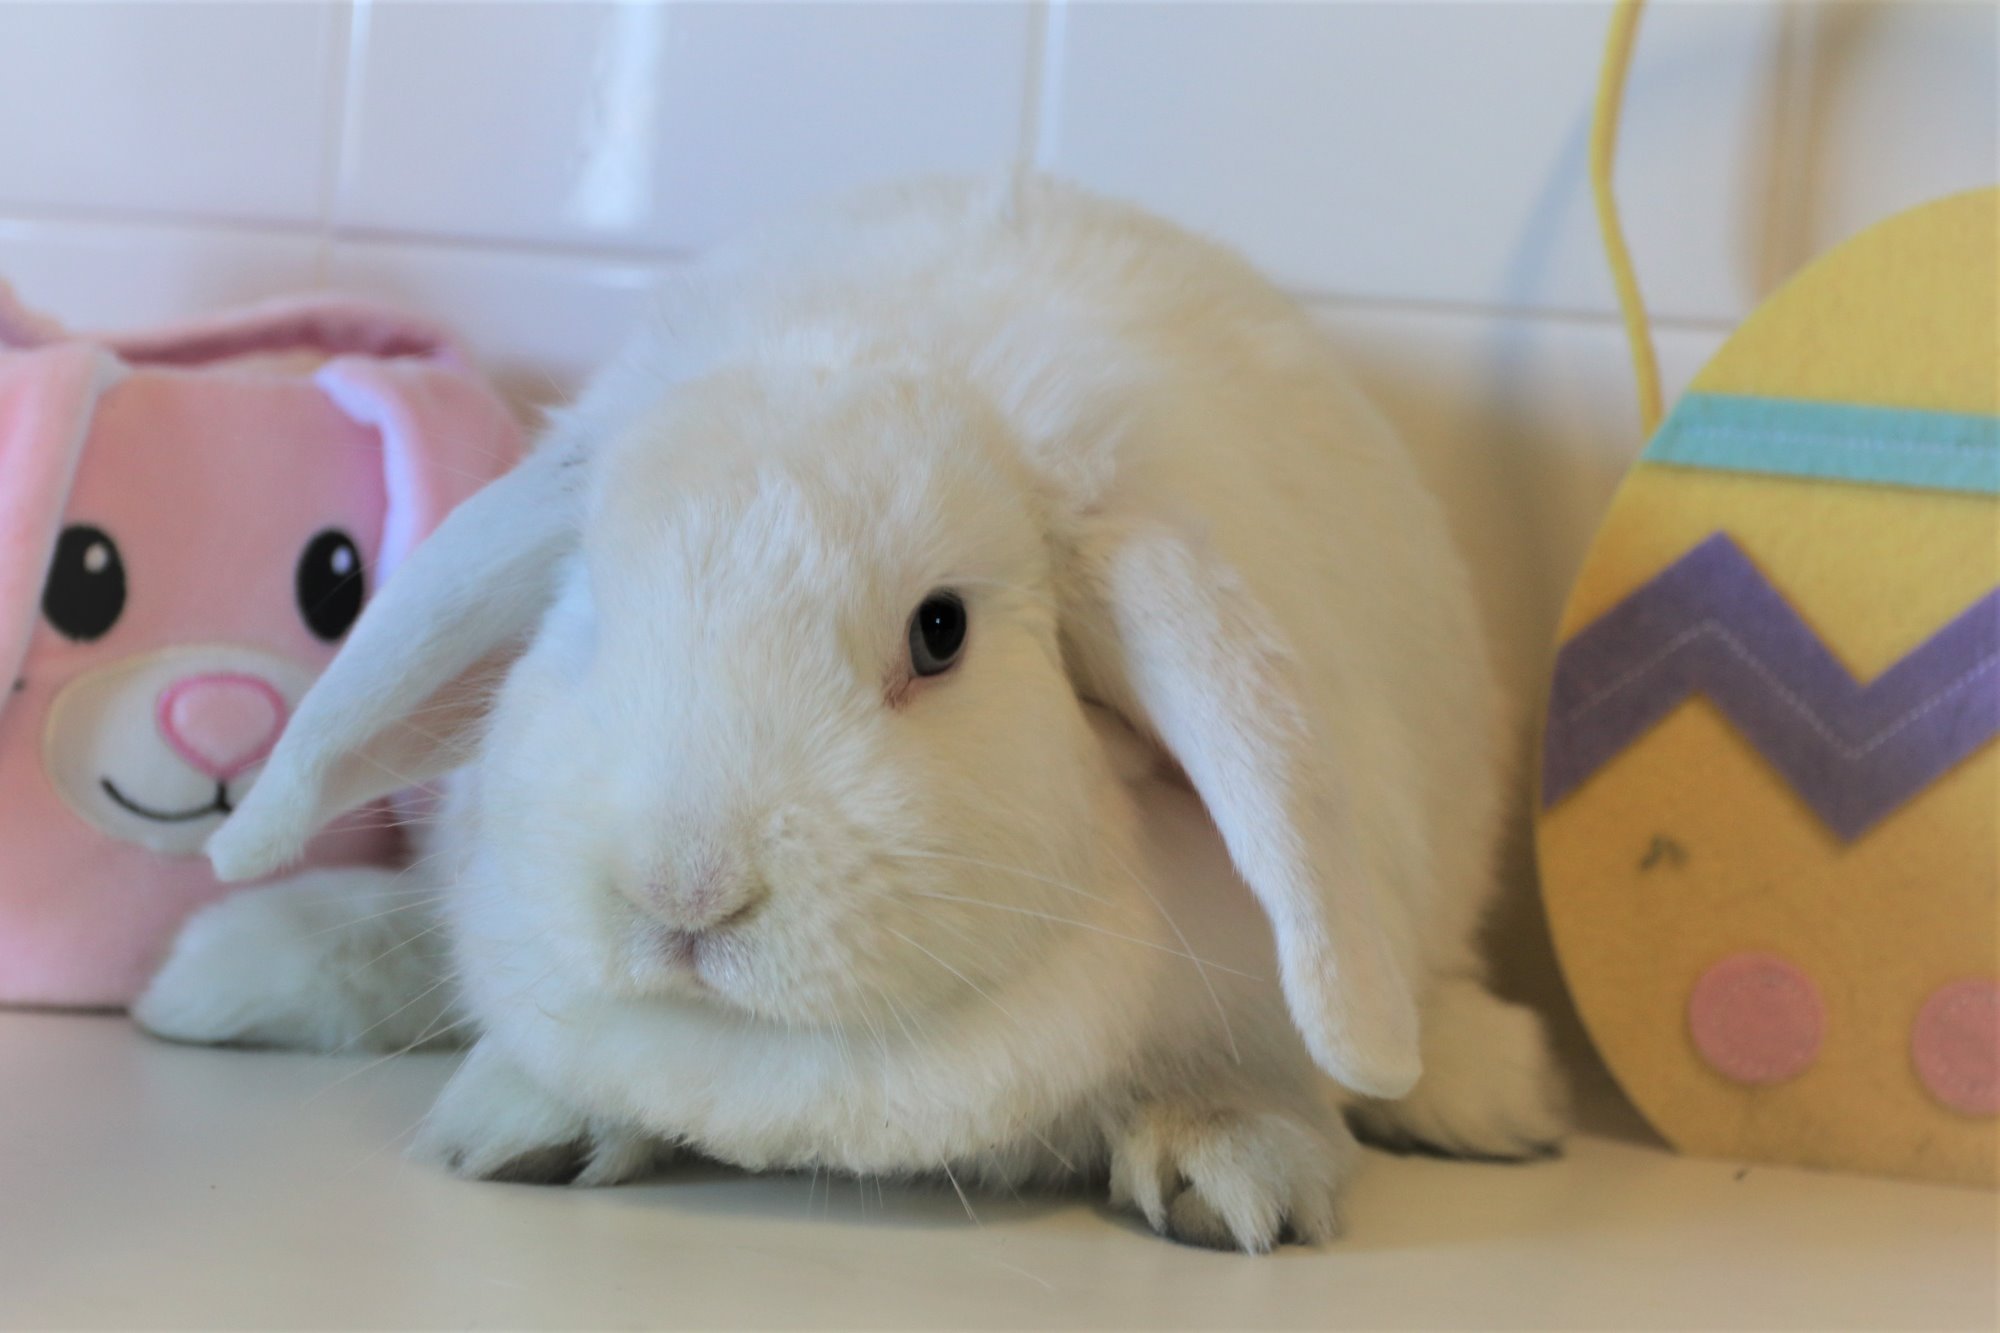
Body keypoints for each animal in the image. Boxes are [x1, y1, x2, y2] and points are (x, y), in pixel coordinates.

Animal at [155, 175, 1566, 1251]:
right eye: (590, 605)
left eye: (939, 632)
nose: (680, 890)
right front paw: (521, 1122)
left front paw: (1229, 1172)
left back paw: (1494, 1095)